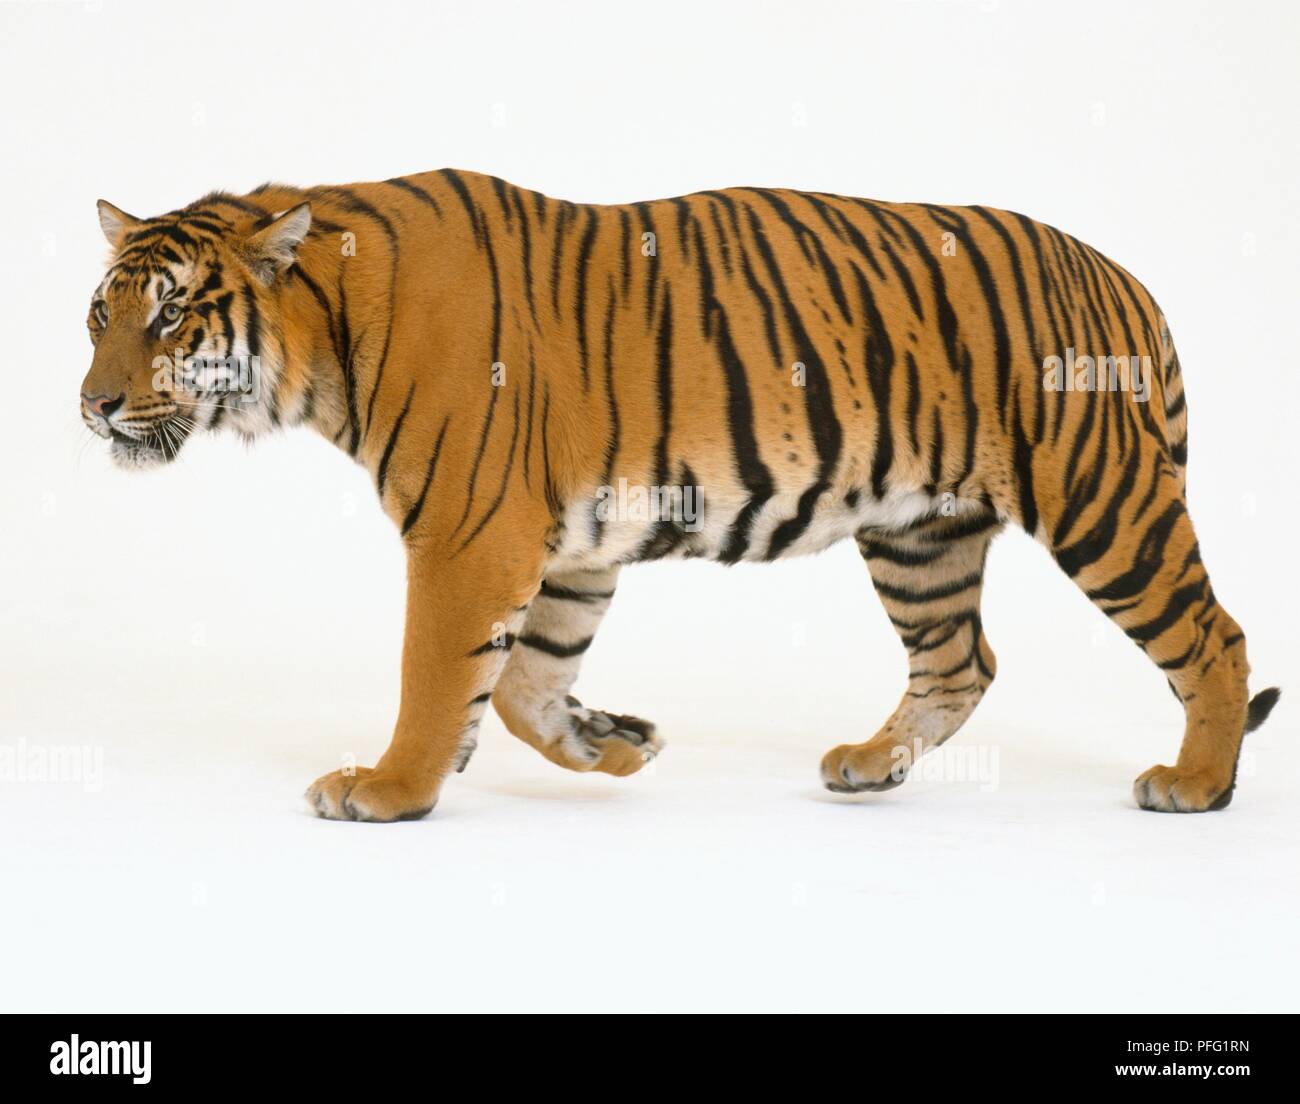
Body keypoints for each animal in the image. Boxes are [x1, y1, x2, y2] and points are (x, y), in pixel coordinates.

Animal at [80, 169, 1279, 821]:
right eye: (102, 315)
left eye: (172, 318)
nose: (92, 407)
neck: (321, 339)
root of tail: (1124, 278)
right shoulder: (565, 547)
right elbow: (520, 688)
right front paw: (615, 745)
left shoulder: (470, 534)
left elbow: (435, 675)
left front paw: (389, 789)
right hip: (920, 535)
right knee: (960, 661)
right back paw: (868, 767)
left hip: (1099, 499)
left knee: (1213, 635)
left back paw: (1195, 782)